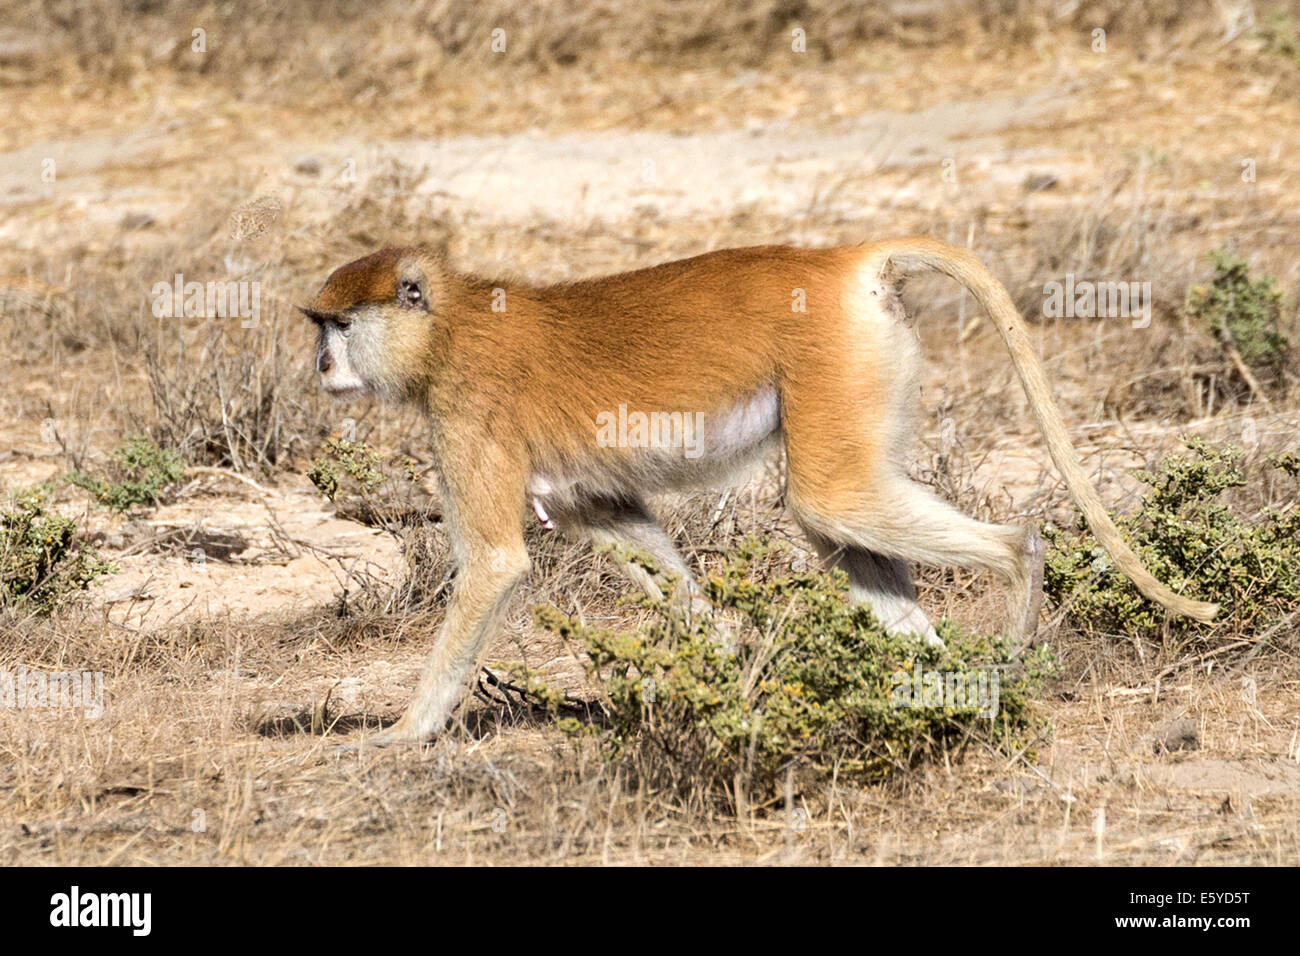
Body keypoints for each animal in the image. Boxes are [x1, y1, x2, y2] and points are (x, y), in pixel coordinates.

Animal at [301, 237, 1218, 746]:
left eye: (339, 326)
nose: (319, 366)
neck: (447, 327)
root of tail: (844, 263)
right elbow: (616, 520)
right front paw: (724, 664)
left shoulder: (469, 413)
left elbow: (495, 565)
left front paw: (400, 734)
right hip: (867, 361)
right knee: (832, 520)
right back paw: (932, 684)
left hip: (834, 357)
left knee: (830, 503)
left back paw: (1015, 586)